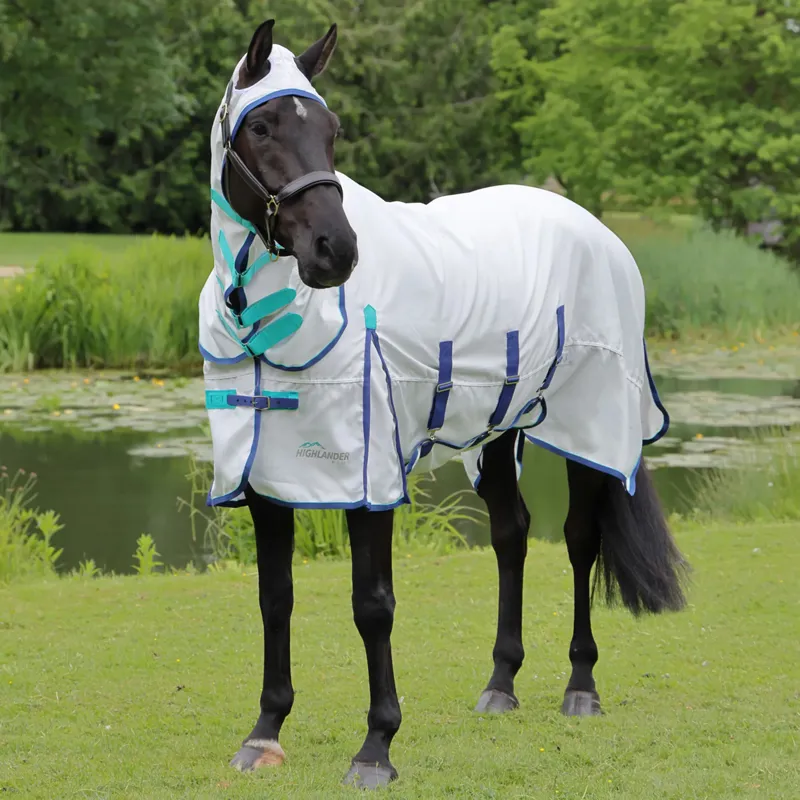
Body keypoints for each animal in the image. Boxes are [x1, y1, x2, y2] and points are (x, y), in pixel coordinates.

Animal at [198, 19, 688, 789]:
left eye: (332, 130)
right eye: (264, 126)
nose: (335, 251)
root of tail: (597, 229)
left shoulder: (366, 475)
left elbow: (372, 605)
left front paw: (376, 747)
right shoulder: (265, 477)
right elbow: (275, 597)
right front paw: (265, 732)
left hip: (588, 425)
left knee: (580, 540)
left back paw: (580, 687)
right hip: (501, 427)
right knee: (513, 533)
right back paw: (501, 685)